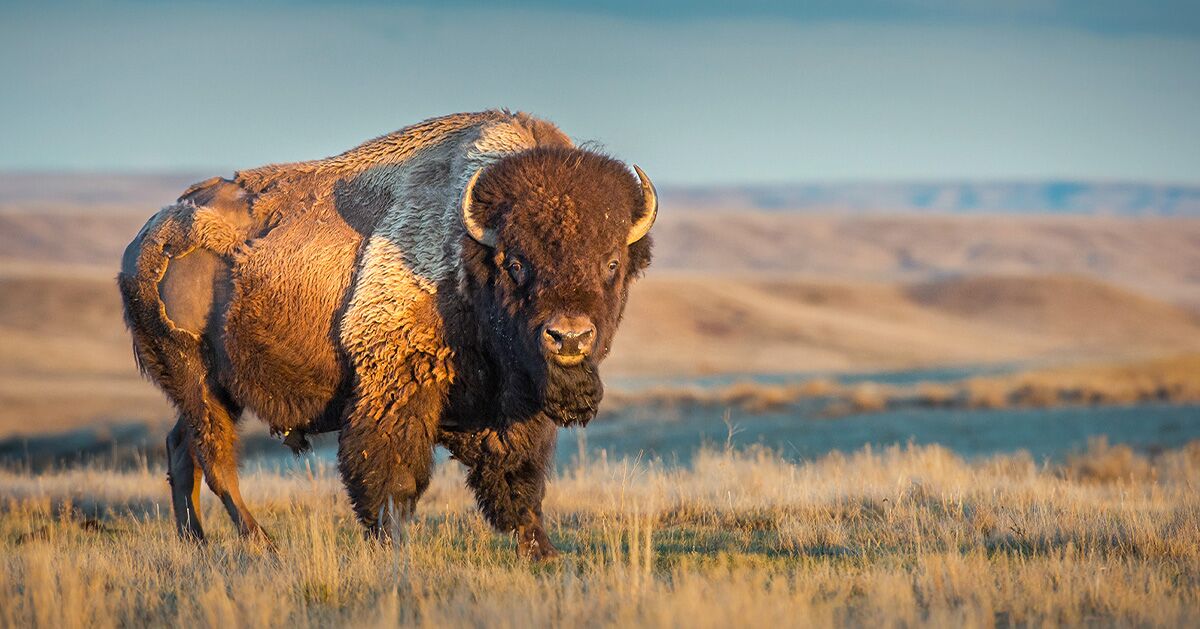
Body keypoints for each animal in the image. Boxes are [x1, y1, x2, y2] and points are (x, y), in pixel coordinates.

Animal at [119, 111, 656, 558]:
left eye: (611, 263)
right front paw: (395, 550)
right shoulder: (396, 386)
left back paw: (197, 543)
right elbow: (391, 477)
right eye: (516, 262)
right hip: (196, 378)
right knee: (215, 459)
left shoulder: (512, 409)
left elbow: (517, 480)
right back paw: (261, 544)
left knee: (181, 449)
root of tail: (144, 239)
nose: (569, 338)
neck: (468, 253)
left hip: (209, 389)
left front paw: (543, 553)